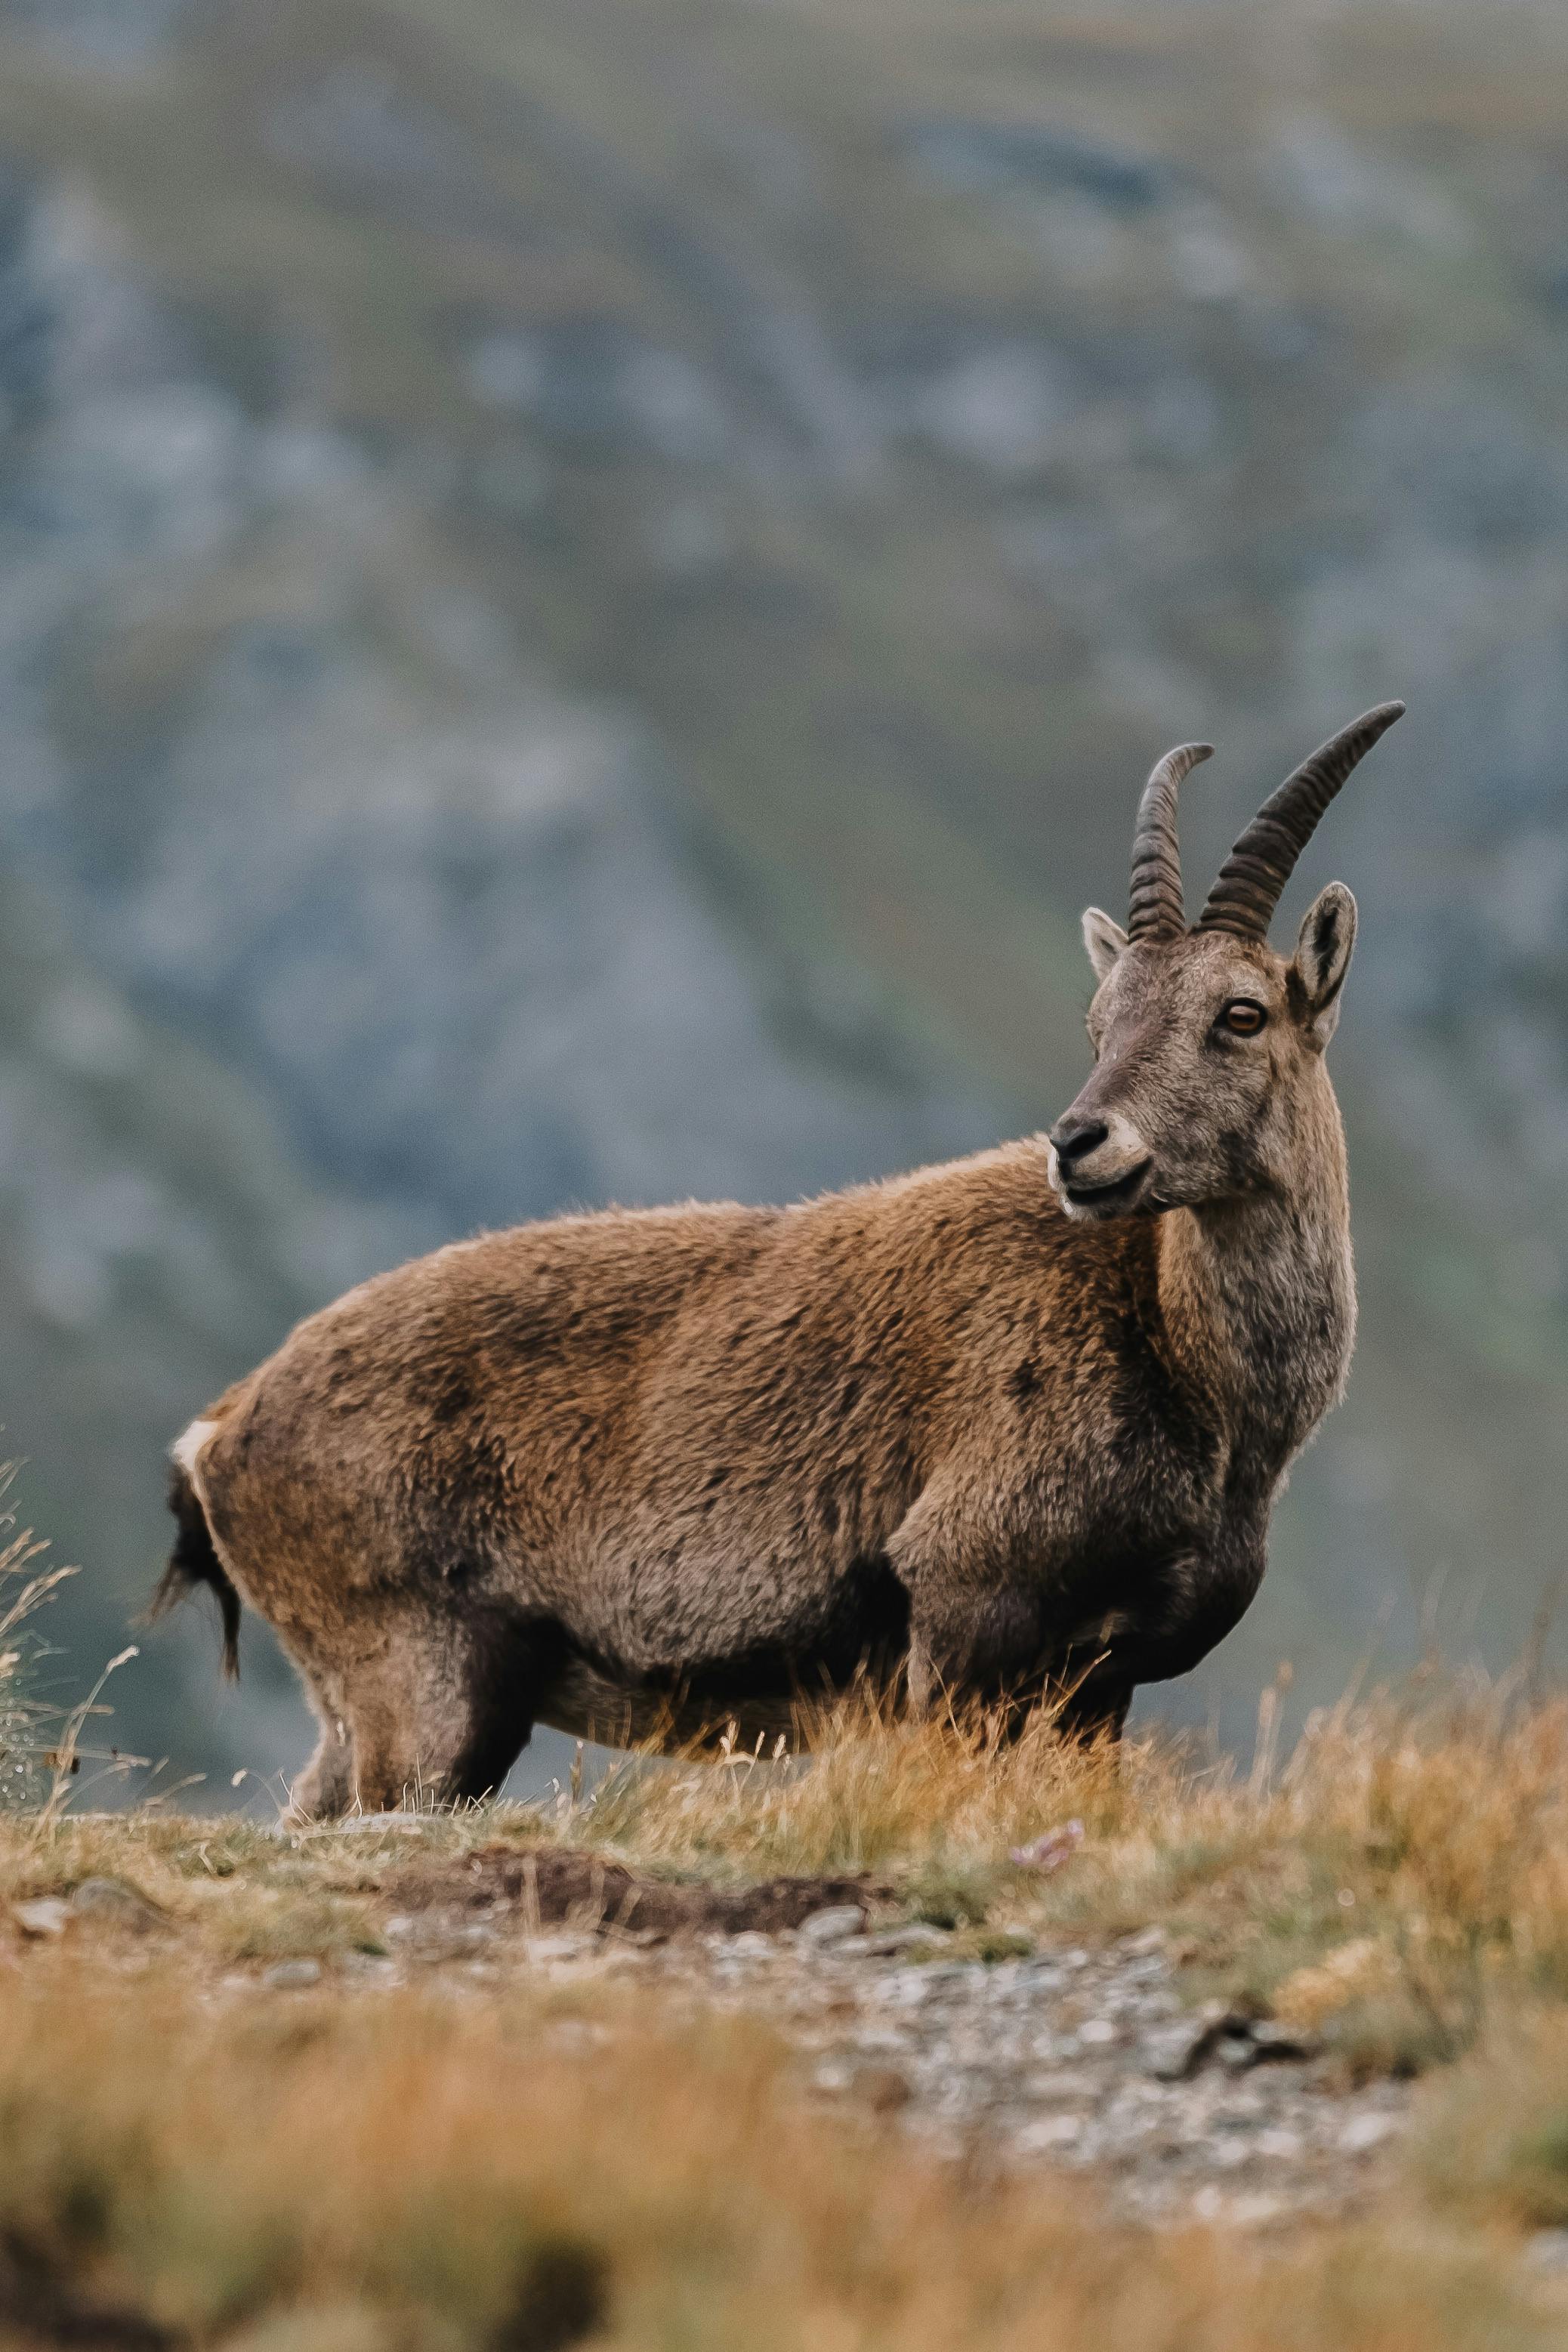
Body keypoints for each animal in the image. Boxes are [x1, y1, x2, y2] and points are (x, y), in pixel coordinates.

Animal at [156, 702, 1403, 1817]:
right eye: (1100, 1021)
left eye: (1240, 1012)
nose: (1081, 1145)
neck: (1192, 1369)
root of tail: (218, 1432)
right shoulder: (965, 1601)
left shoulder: (1102, 1677)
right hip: (424, 1684)